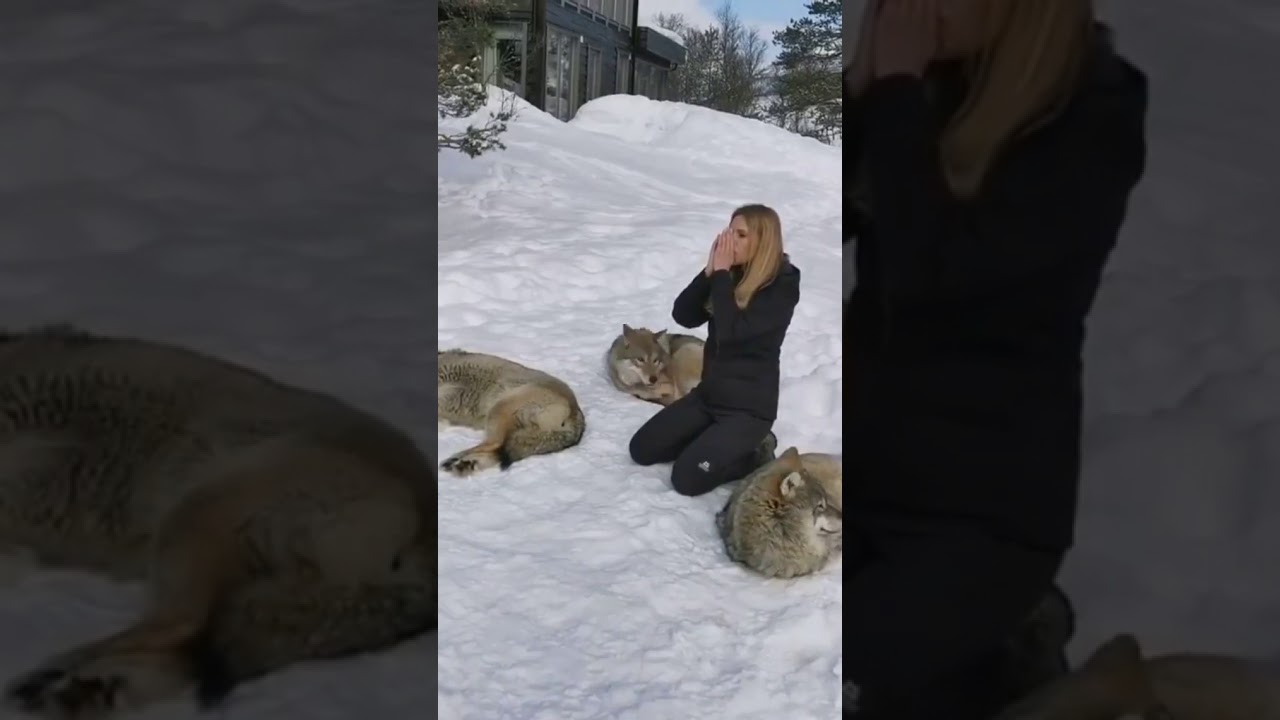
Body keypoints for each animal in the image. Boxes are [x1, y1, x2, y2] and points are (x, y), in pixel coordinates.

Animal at [437, 348, 585, 477]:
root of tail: (577, 416)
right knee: (499, 450)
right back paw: (466, 464)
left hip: (498, 410)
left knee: (495, 446)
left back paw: (458, 460)